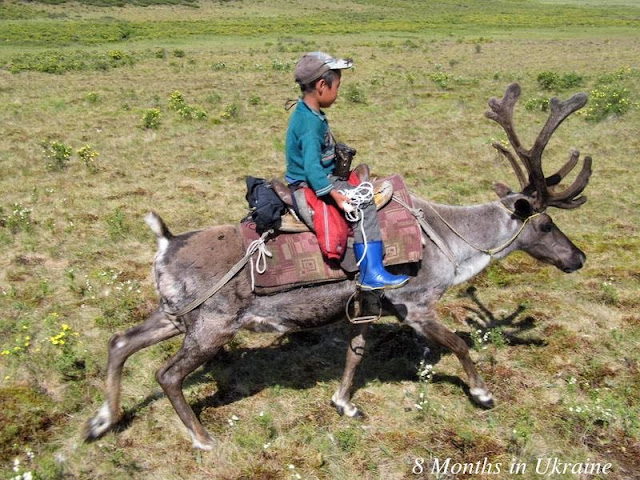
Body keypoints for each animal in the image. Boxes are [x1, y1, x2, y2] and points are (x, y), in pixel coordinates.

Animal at [86, 84, 592, 450]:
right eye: (545, 223)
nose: (579, 258)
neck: (450, 241)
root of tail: (165, 242)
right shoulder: (415, 303)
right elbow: (459, 346)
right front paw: (482, 394)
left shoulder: (367, 303)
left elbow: (356, 352)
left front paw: (344, 403)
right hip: (212, 326)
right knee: (167, 375)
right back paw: (202, 438)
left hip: (174, 315)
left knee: (119, 342)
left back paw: (102, 420)